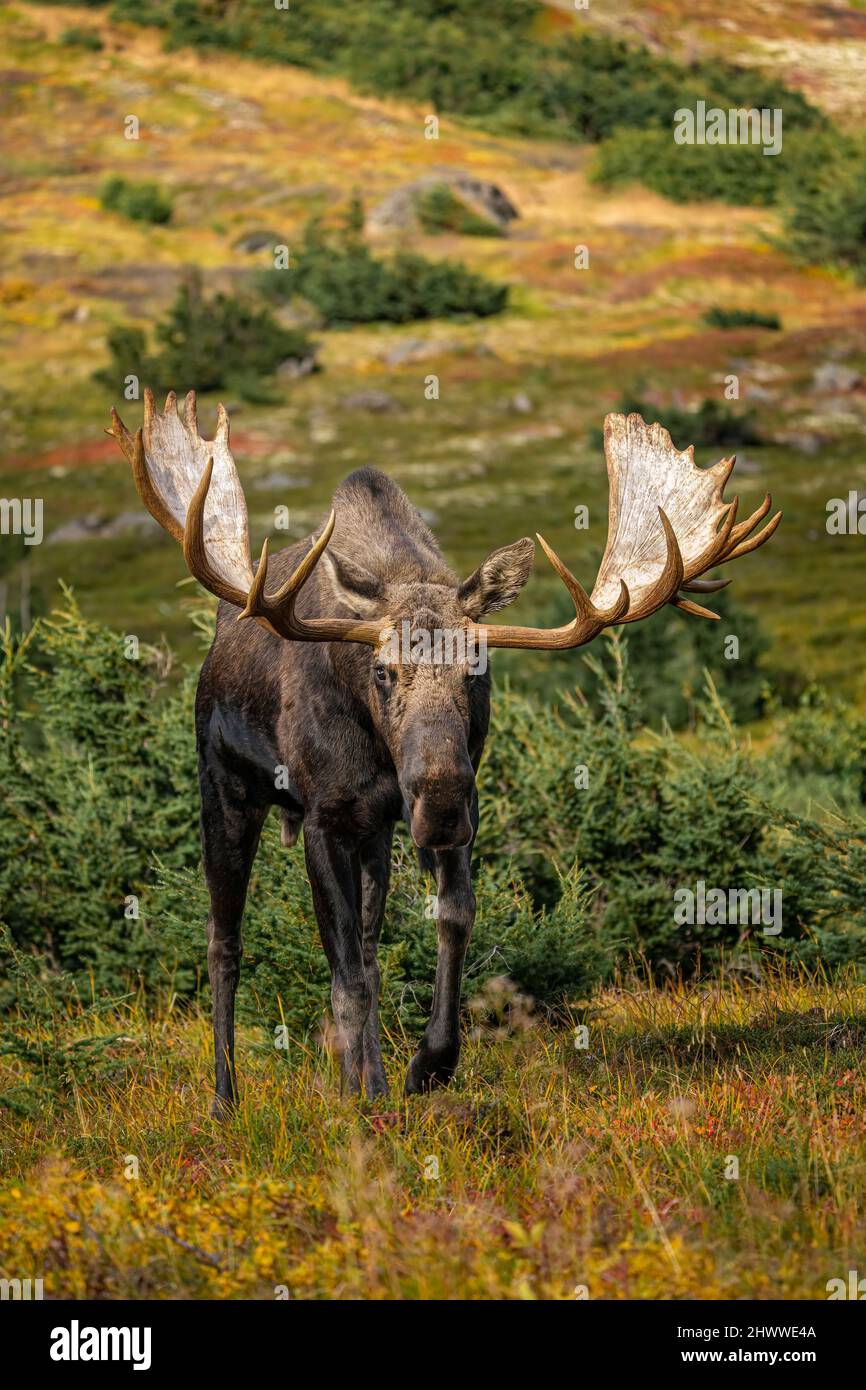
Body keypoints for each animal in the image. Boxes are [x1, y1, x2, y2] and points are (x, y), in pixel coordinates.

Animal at [109, 390, 780, 1115]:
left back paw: (369, 1078)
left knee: (371, 948)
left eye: (477, 670)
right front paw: (358, 1098)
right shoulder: (324, 818)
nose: (440, 794)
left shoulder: (434, 819)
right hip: (227, 791)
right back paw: (227, 1099)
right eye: (383, 671)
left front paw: (426, 1066)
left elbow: (449, 923)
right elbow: (342, 972)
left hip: (377, 832)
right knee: (224, 941)